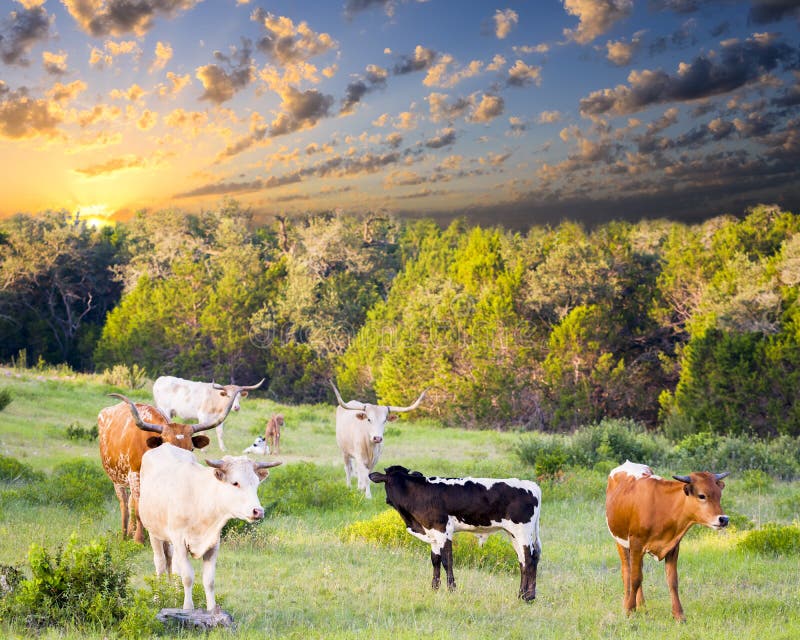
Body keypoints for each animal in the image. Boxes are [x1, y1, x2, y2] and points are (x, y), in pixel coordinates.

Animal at [97, 392, 236, 543]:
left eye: (191, 449)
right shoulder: (135, 476)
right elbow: (139, 510)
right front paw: (139, 540)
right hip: (117, 478)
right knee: (124, 504)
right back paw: (124, 536)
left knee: (130, 503)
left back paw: (130, 532)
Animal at [138, 443, 281, 611]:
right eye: (235, 483)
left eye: (256, 484)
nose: (258, 511)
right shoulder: (180, 542)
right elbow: (187, 577)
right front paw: (187, 608)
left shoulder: (213, 544)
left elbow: (209, 580)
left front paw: (212, 609)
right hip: (154, 533)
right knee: (160, 564)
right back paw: (157, 597)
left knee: (172, 565)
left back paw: (174, 595)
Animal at [369, 466, 541, 600]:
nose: (387, 500)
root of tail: (531, 485)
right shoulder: (432, 534)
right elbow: (435, 560)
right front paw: (434, 588)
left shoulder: (442, 530)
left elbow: (447, 561)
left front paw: (451, 589)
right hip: (513, 534)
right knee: (523, 562)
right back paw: (521, 595)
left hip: (523, 532)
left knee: (530, 560)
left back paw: (528, 597)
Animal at [605, 460, 730, 621]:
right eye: (702, 495)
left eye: (719, 495)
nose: (724, 519)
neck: (662, 508)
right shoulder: (636, 543)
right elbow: (635, 578)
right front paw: (629, 610)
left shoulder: (673, 547)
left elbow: (672, 580)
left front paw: (679, 615)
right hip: (620, 541)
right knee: (627, 572)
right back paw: (628, 604)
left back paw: (643, 606)